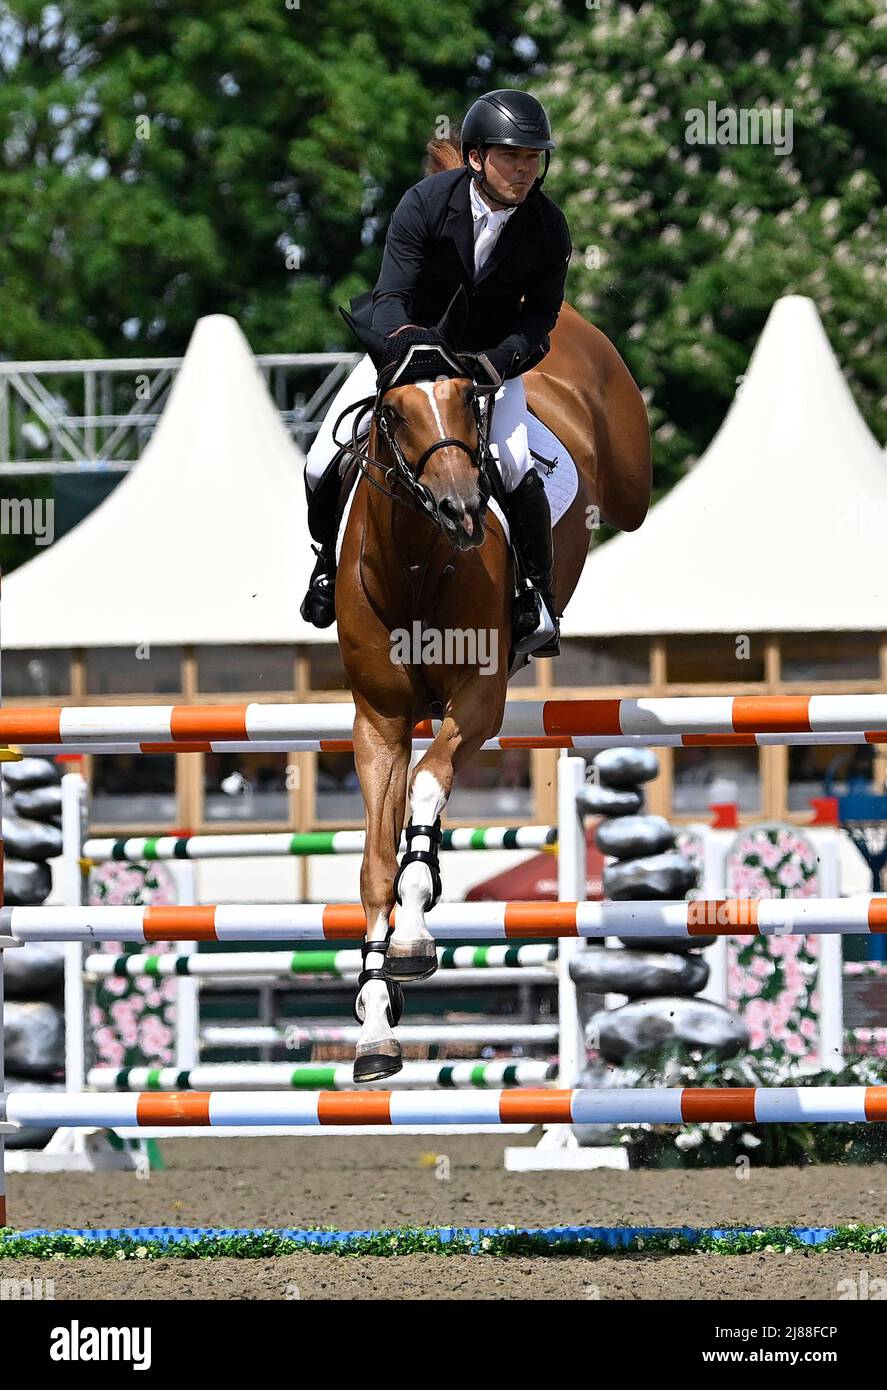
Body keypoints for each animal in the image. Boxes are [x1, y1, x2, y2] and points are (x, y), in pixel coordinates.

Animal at [334, 136, 652, 1081]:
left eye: (465, 403)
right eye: (394, 411)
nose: (462, 510)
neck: (416, 562)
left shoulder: (477, 698)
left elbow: (429, 791)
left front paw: (413, 929)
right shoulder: (379, 715)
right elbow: (374, 858)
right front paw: (375, 1023)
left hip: (623, 463)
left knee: (630, 495)